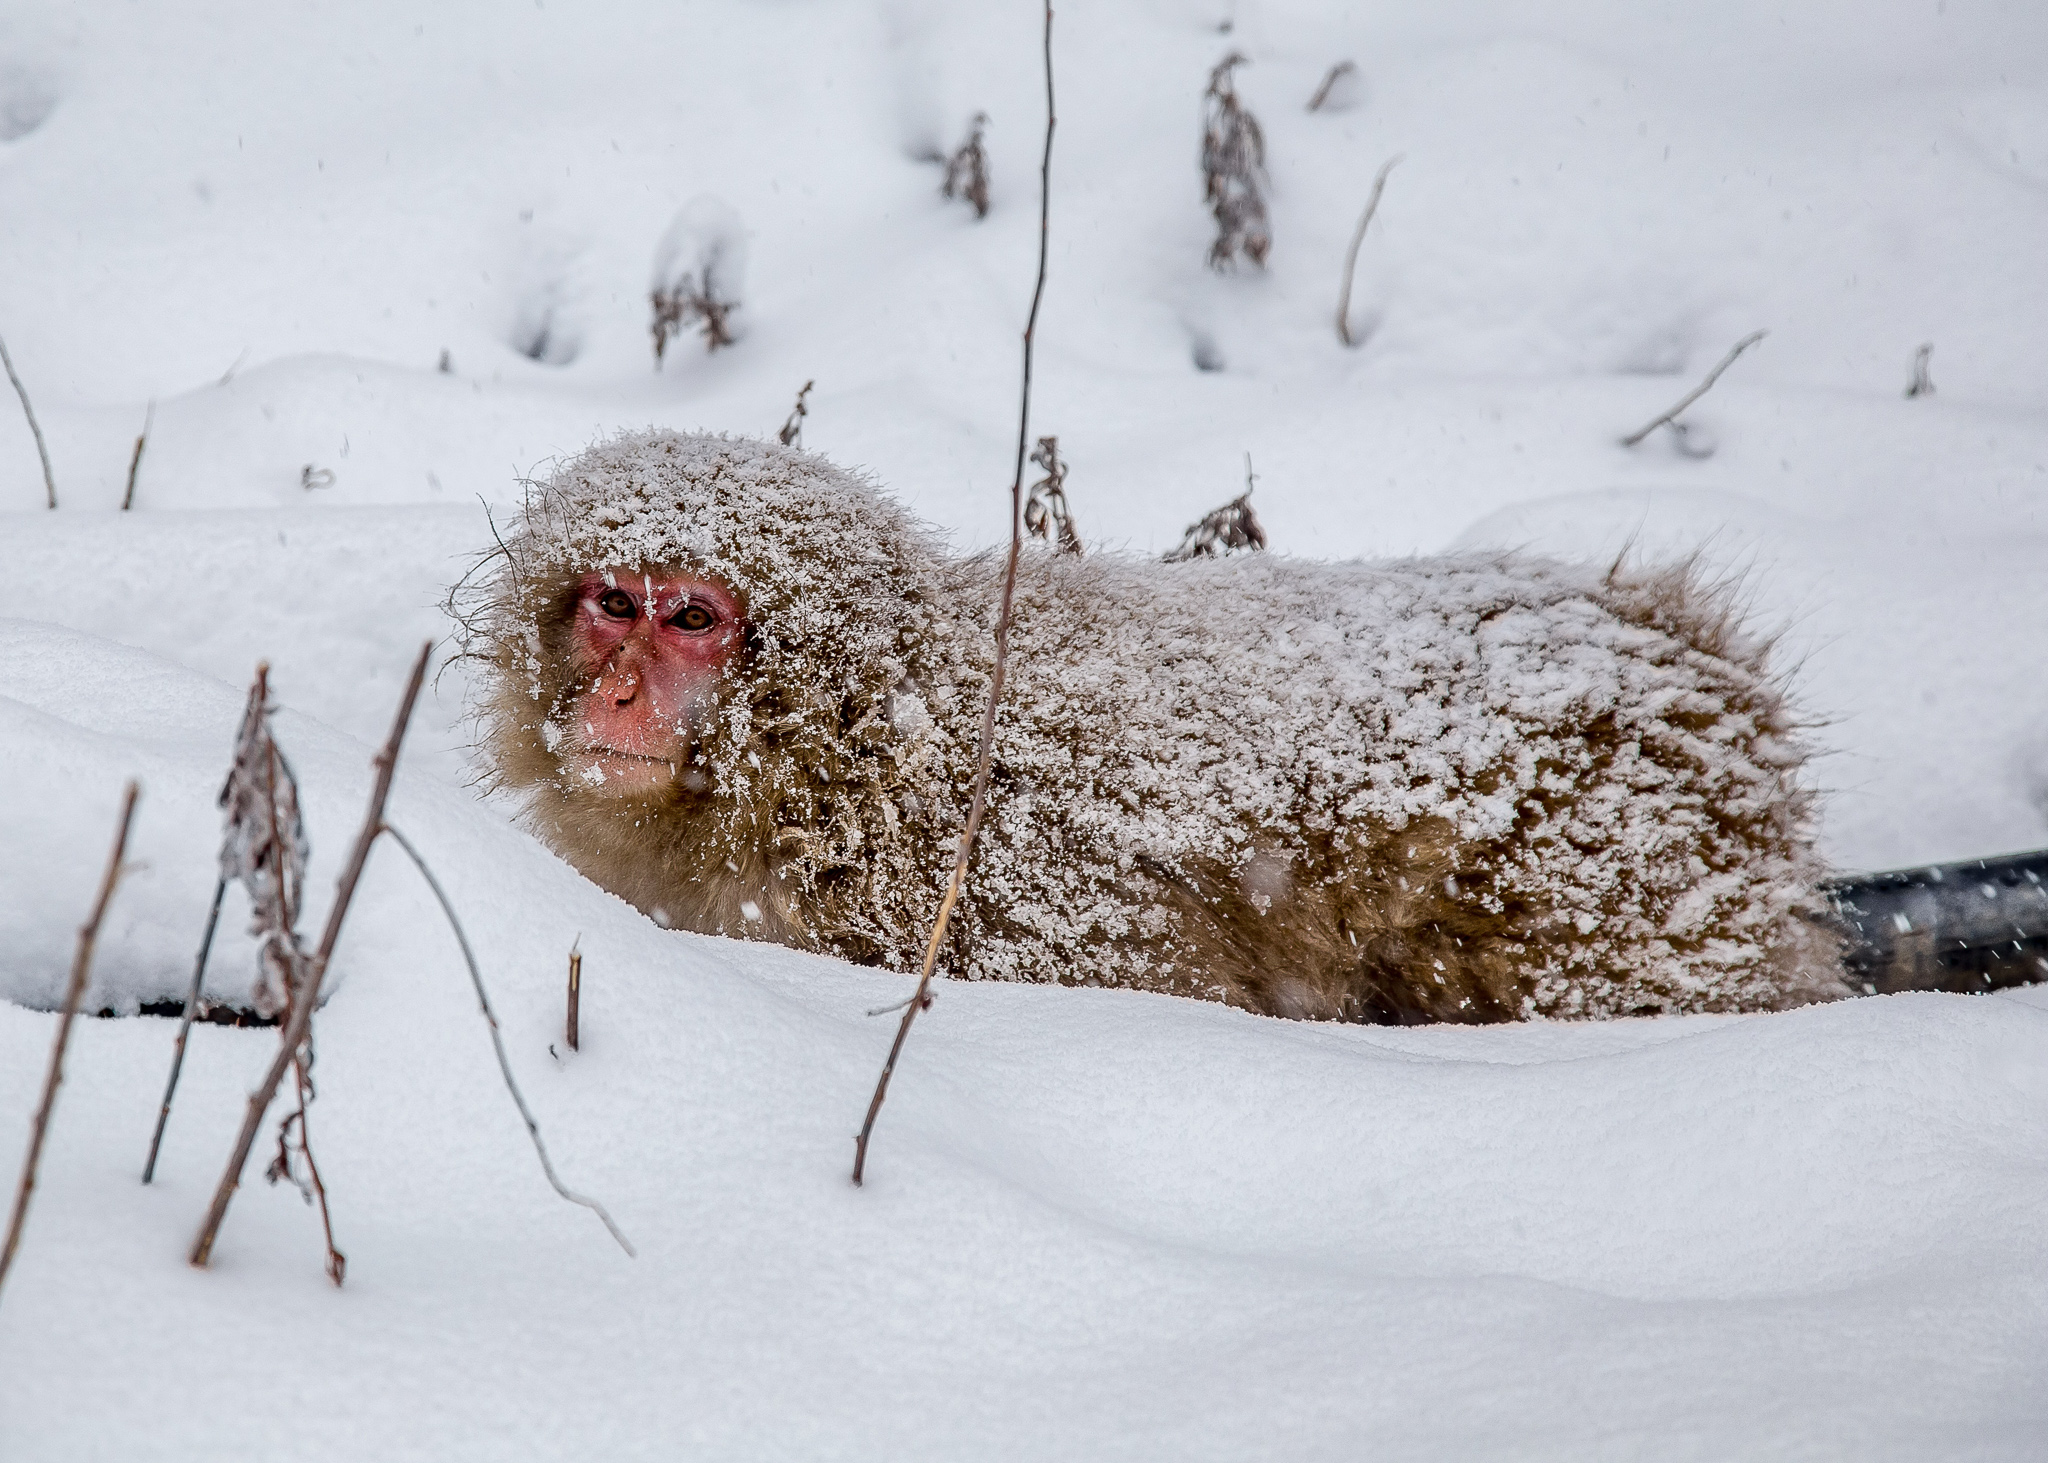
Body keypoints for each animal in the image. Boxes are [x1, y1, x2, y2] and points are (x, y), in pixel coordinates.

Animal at [454, 430, 1848, 1023]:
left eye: (691, 615)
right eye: (611, 603)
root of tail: (1684, 656)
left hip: (1620, 884)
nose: (614, 692)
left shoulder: (1000, 899)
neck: (856, 758)